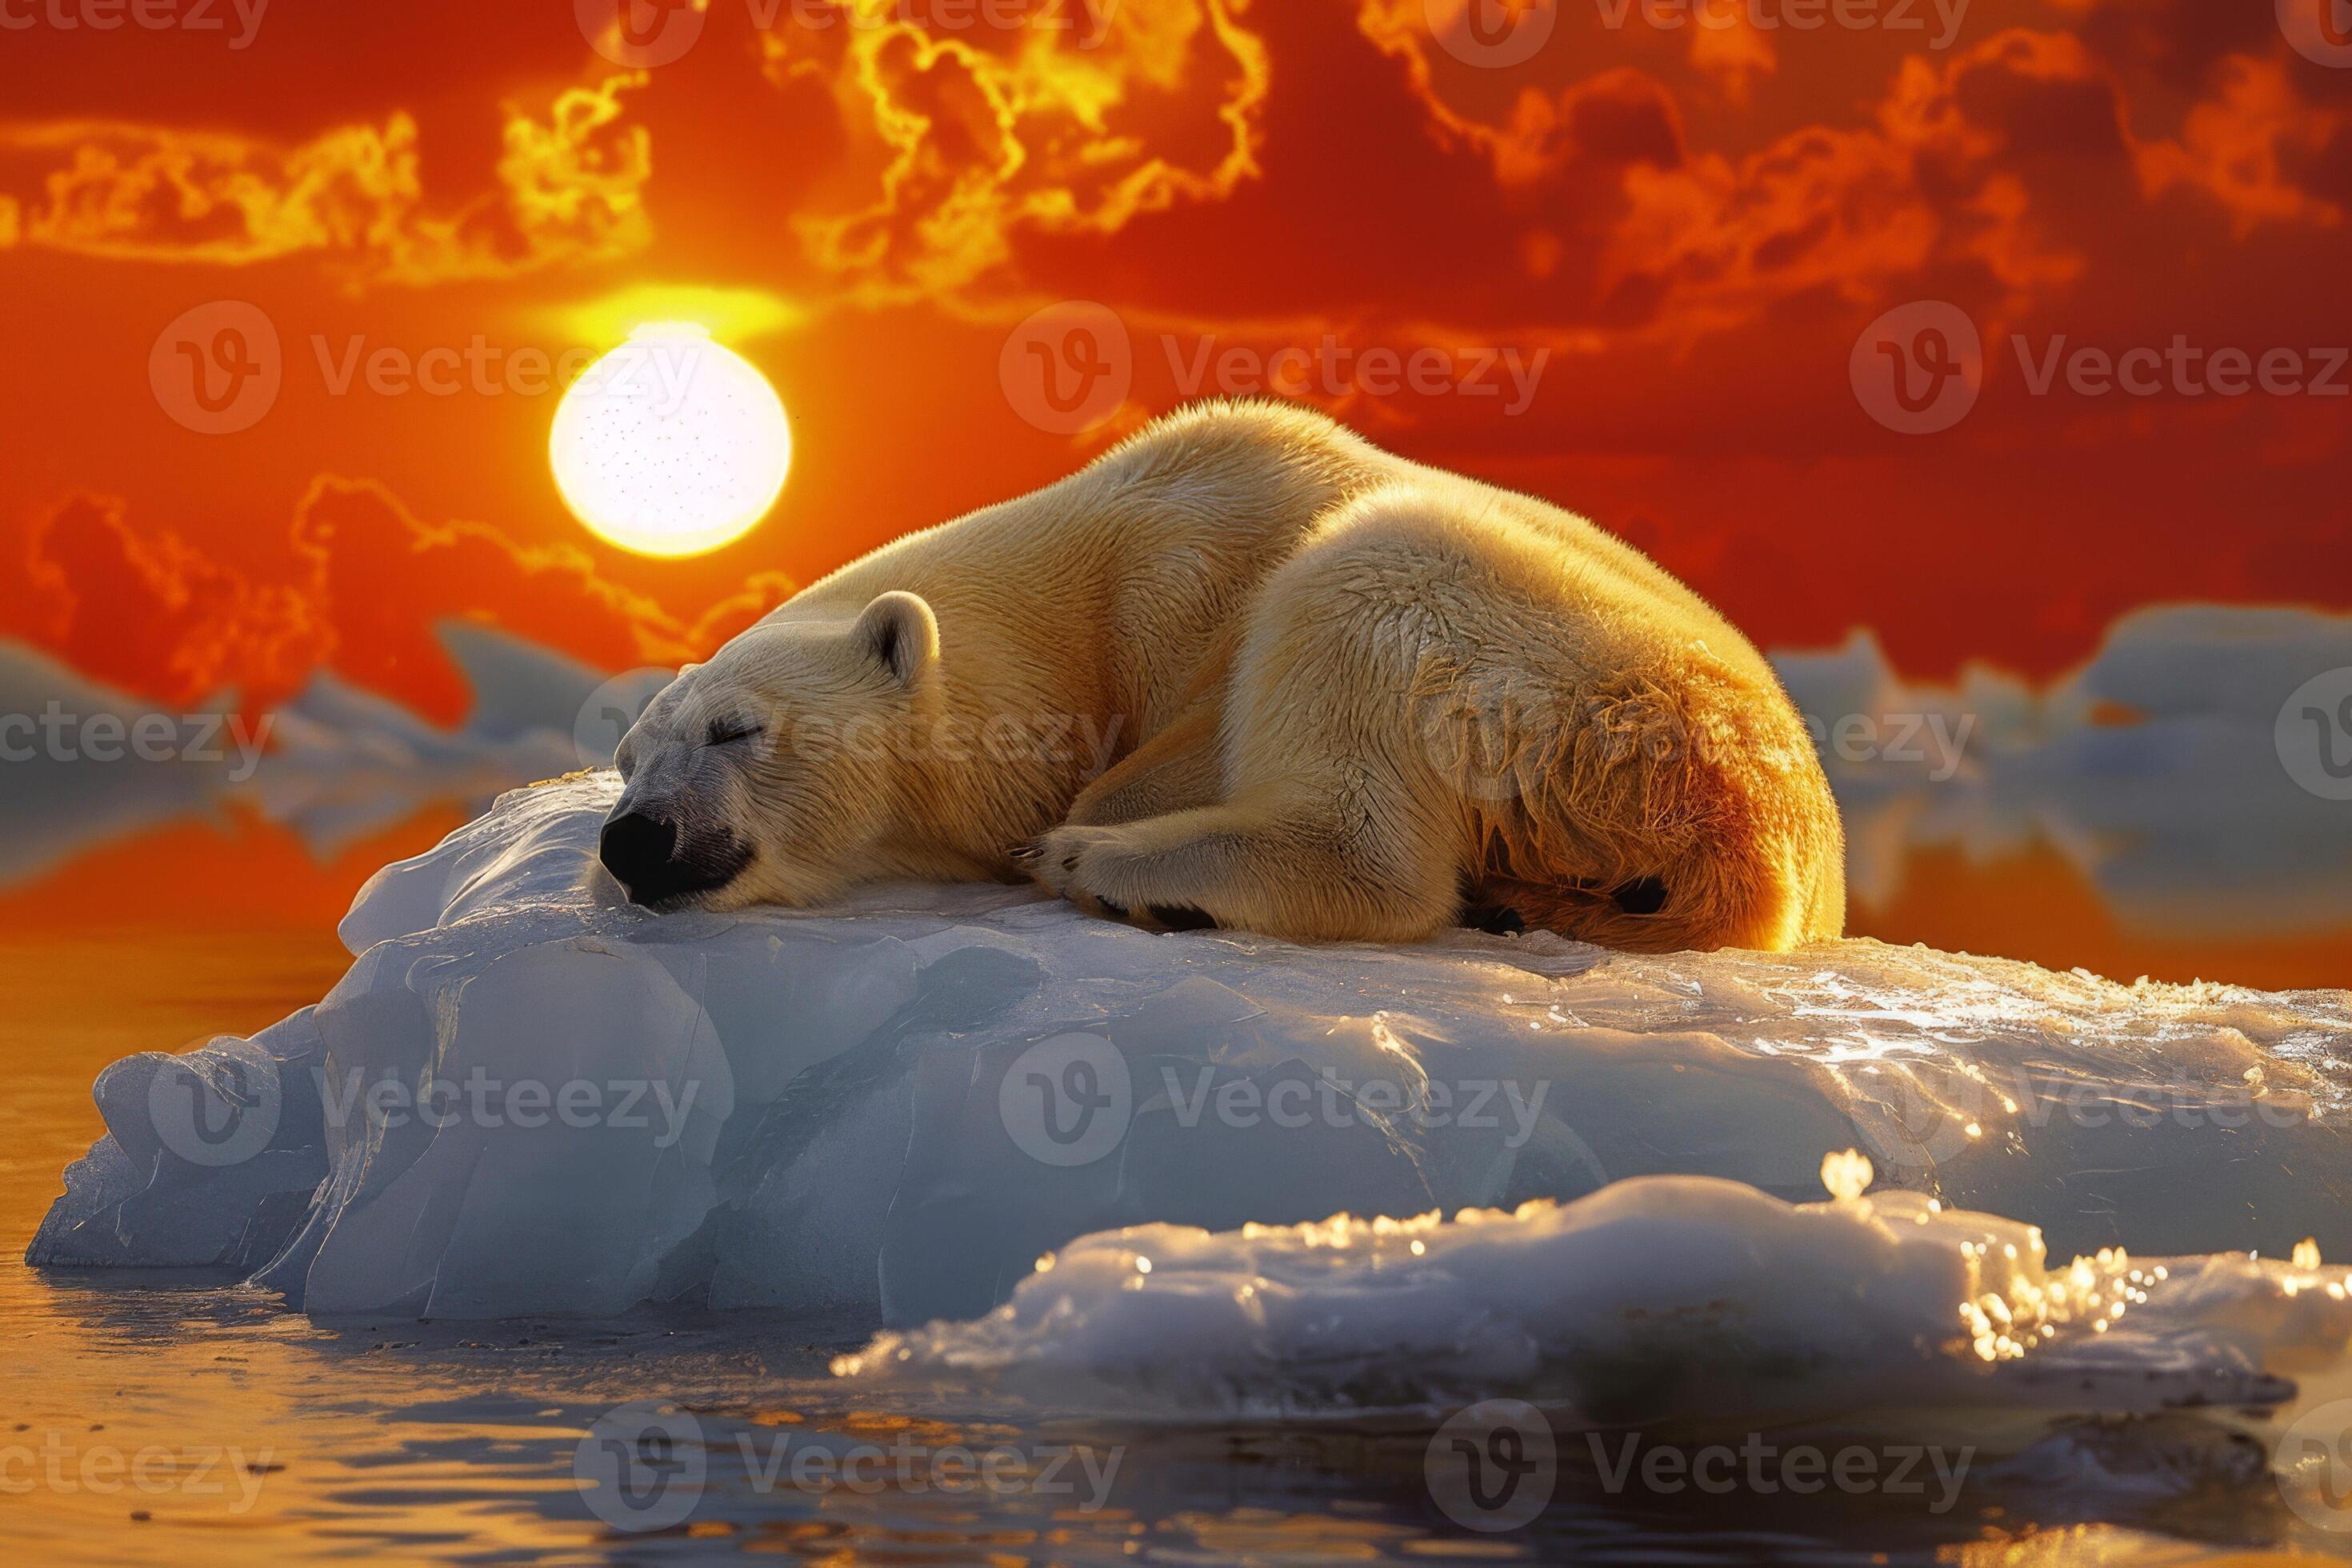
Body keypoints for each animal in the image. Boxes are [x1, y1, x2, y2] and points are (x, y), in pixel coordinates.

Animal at [598, 399, 1845, 952]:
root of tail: (1757, 845)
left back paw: (1111, 866)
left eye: (735, 729)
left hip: (1586, 688)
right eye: (626, 755)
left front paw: (1078, 826)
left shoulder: (1200, 577)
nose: (633, 837)